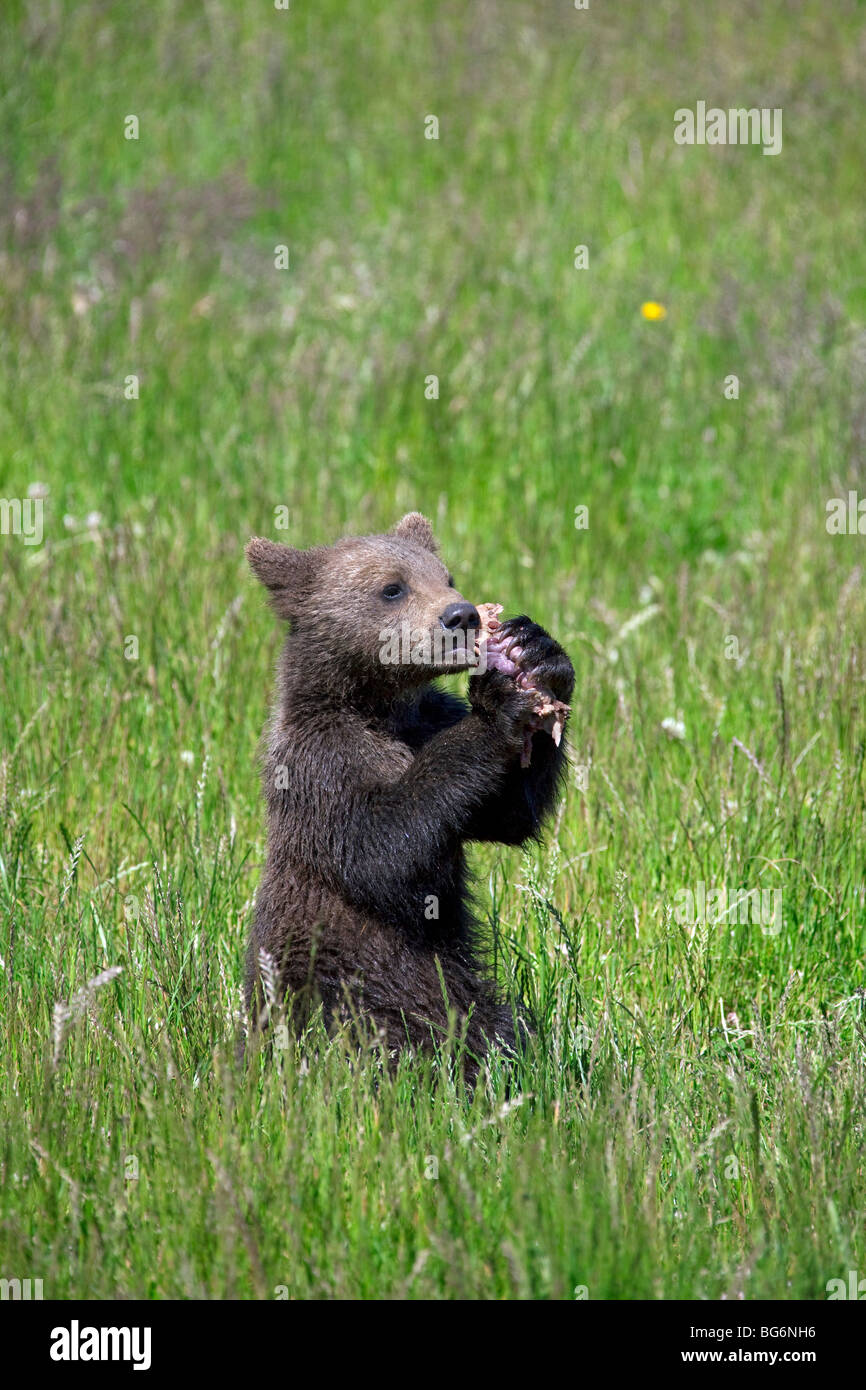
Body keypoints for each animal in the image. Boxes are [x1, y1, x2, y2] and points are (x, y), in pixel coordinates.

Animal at [244, 512, 574, 1077]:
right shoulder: (323, 764)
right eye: (393, 588)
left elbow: (508, 812)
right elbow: (382, 847)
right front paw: (497, 707)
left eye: (447, 576)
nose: (462, 615)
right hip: (341, 980)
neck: (380, 708)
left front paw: (538, 650)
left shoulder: (431, 719)